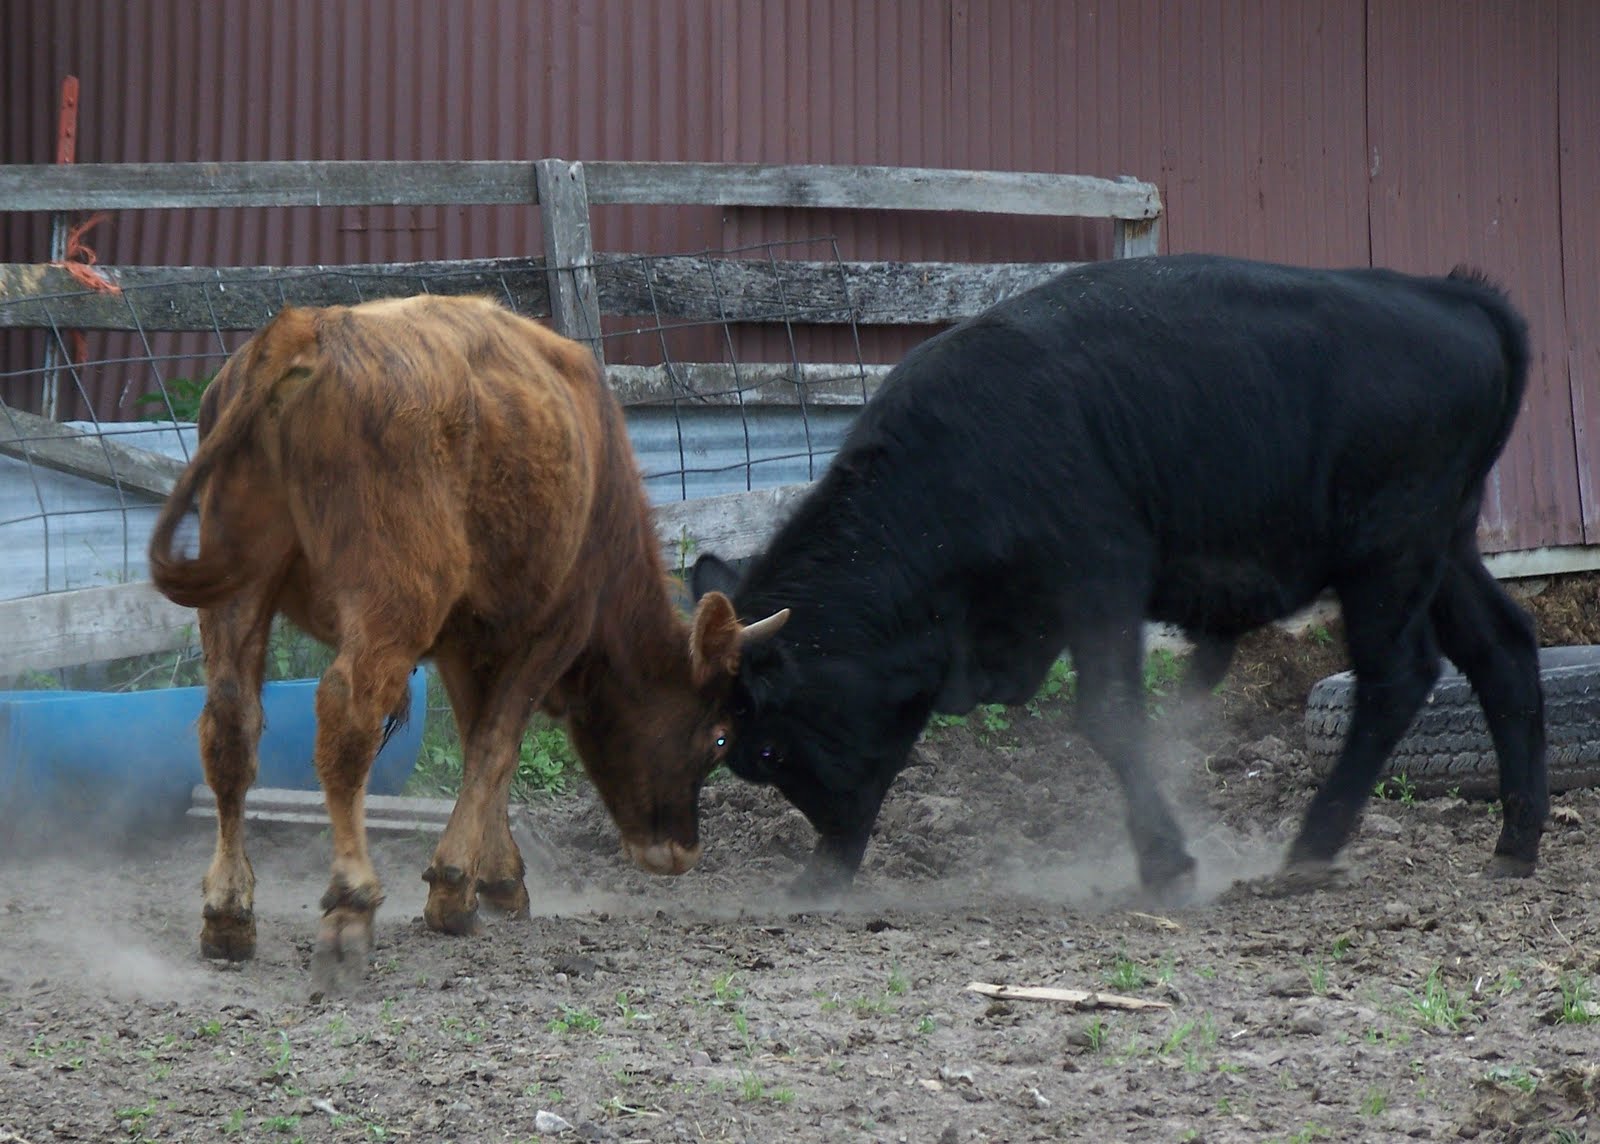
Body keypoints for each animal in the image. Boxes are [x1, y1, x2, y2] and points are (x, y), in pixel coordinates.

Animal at [147, 295, 781, 990]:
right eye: (719, 737)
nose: (683, 851)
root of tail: (307, 328)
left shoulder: (459, 641)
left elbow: (480, 738)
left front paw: (497, 876)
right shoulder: (554, 628)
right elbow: (497, 745)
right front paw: (455, 887)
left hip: (238, 590)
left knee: (230, 723)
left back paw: (228, 912)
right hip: (393, 600)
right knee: (346, 715)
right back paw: (351, 901)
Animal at [690, 253, 1546, 902]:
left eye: (763, 753)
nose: (827, 859)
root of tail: (1456, 297)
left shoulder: (1101, 588)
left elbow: (1109, 716)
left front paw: (1169, 864)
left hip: (1388, 558)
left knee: (1398, 678)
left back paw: (1311, 846)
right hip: (1446, 550)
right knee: (1502, 648)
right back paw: (1516, 843)